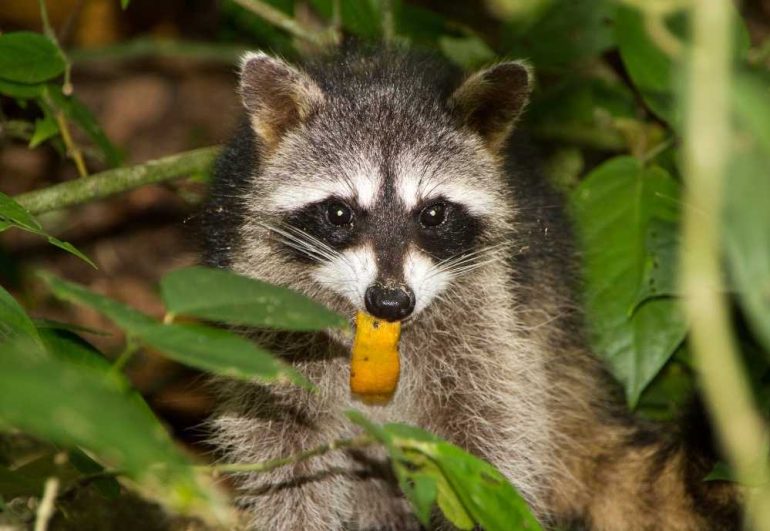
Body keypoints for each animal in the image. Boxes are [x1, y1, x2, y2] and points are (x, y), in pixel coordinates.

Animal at [202, 47, 739, 530]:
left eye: (433, 214)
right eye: (339, 213)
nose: (391, 302)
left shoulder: (488, 310)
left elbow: (490, 436)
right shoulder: (265, 297)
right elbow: (282, 444)